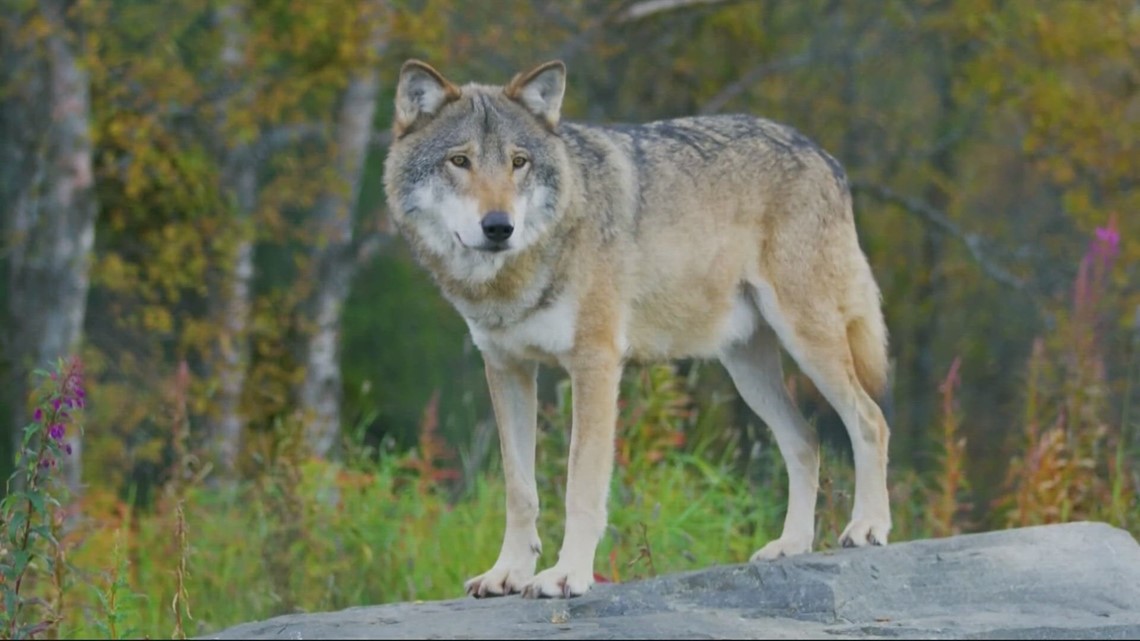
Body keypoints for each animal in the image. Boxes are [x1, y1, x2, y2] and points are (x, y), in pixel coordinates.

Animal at [383, 60, 892, 599]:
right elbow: (520, 491)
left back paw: (868, 527)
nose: (499, 226)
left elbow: (581, 485)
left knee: (870, 420)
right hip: (747, 369)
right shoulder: (506, 369)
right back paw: (790, 545)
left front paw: (567, 574)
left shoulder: (596, 364)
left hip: (808, 342)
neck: (515, 277)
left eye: (519, 162)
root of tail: (824, 156)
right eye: (459, 161)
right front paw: (509, 573)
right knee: (806, 440)